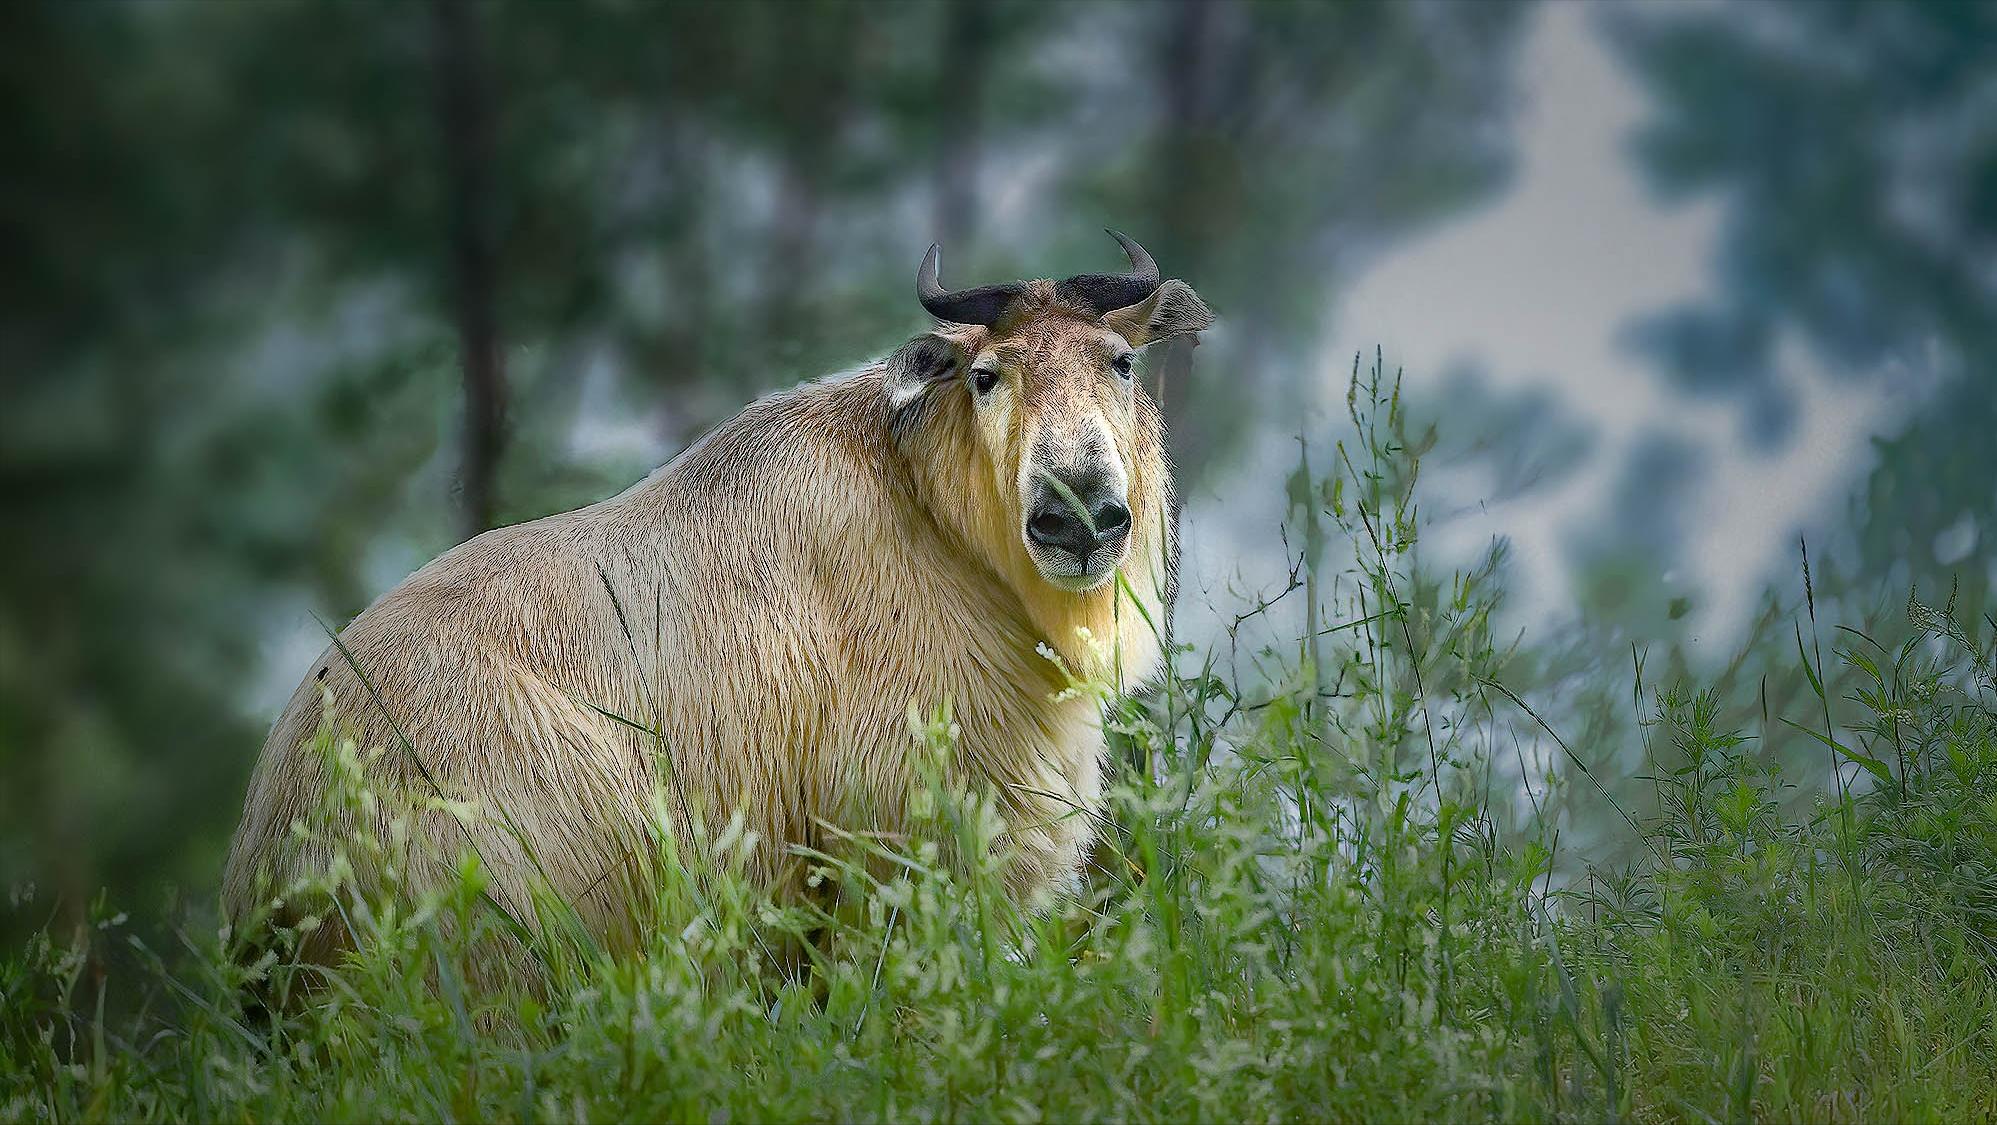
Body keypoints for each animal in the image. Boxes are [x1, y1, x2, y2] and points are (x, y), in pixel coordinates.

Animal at [222, 231, 1213, 966]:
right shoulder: (895, 853)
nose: (1077, 517)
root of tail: (279, 877)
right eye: (986, 376)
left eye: (1120, 362)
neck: (928, 511)